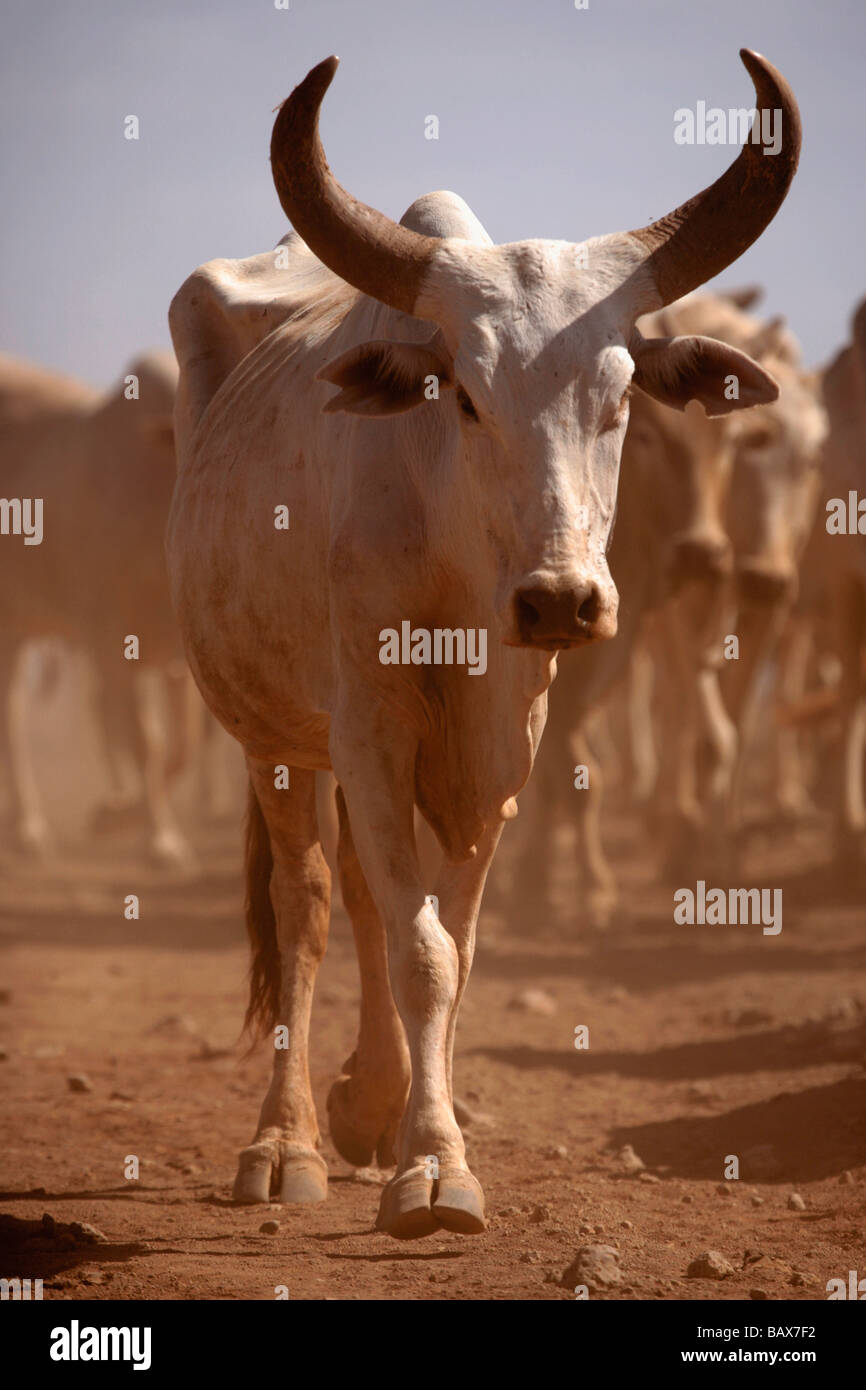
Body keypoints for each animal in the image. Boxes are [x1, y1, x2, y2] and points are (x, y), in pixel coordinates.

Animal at [167, 51, 799, 1238]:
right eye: (458, 393)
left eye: (617, 398)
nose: (560, 602)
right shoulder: (369, 725)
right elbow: (413, 946)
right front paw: (429, 1169)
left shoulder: (502, 749)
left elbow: (445, 947)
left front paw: (419, 1136)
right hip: (271, 732)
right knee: (307, 904)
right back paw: (287, 1142)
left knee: (368, 894)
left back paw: (367, 1102)